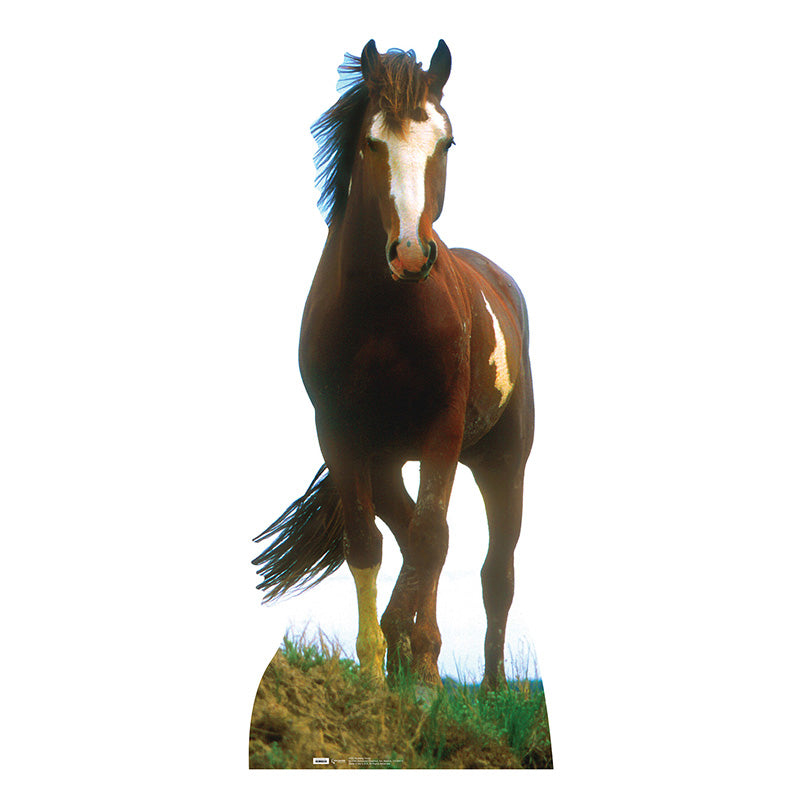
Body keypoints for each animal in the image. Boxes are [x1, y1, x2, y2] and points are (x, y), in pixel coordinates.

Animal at [254, 39, 535, 690]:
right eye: (371, 143)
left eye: (446, 143)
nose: (410, 253)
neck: (385, 316)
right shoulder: (341, 434)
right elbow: (370, 543)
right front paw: (378, 668)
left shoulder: (442, 429)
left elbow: (432, 536)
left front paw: (421, 670)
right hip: (386, 461)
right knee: (410, 536)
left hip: (503, 461)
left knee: (494, 571)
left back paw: (486, 683)